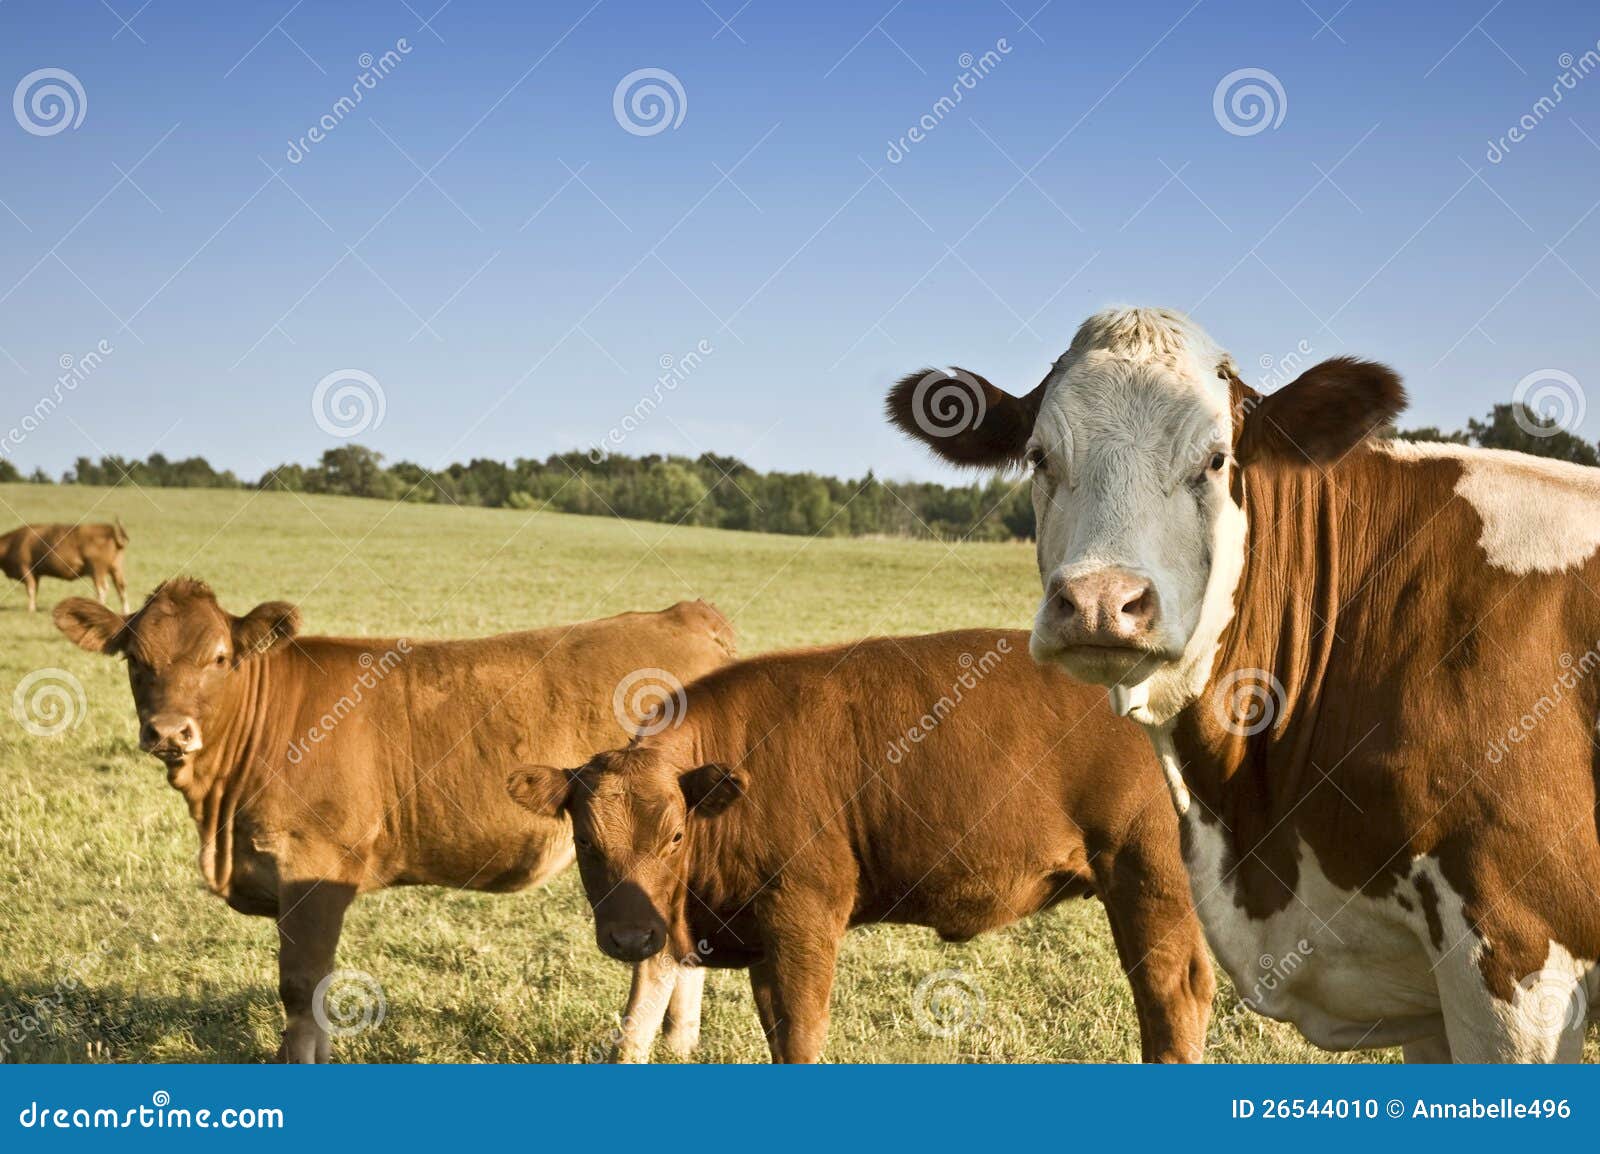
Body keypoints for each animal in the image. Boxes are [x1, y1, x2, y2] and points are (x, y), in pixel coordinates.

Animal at [53, 579, 736, 1063]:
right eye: (134, 660)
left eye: (220, 658)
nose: (170, 732)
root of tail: (680, 614)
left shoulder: (312, 867)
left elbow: (301, 986)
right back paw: (681, 1047)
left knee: (656, 956)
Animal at [506, 629, 1214, 1063]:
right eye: (586, 841)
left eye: (675, 835)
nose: (631, 937)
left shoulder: (804, 917)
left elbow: (800, 1033)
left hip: (1150, 880)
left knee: (1172, 997)